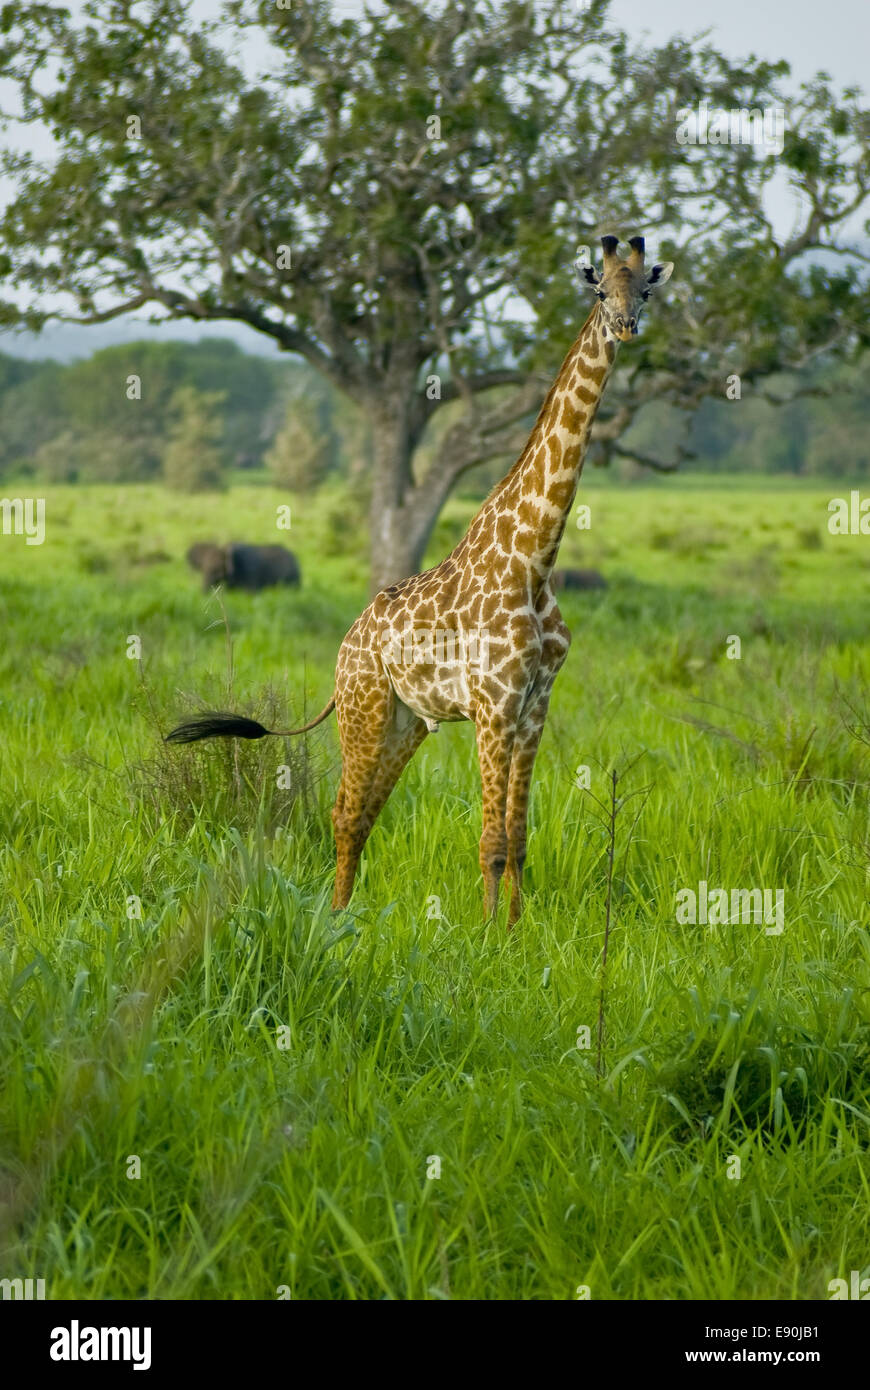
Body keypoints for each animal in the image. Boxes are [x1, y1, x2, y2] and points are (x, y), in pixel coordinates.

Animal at [167, 235, 674, 925]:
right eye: (600, 290)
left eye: (644, 289)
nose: (625, 325)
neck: (534, 559)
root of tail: (347, 644)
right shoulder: (492, 704)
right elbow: (491, 840)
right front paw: (488, 936)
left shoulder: (534, 705)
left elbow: (519, 835)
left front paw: (517, 929)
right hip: (365, 709)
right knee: (344, 814)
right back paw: (334, 923)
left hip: (406, 723)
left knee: (364, 815)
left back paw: (346, 917)